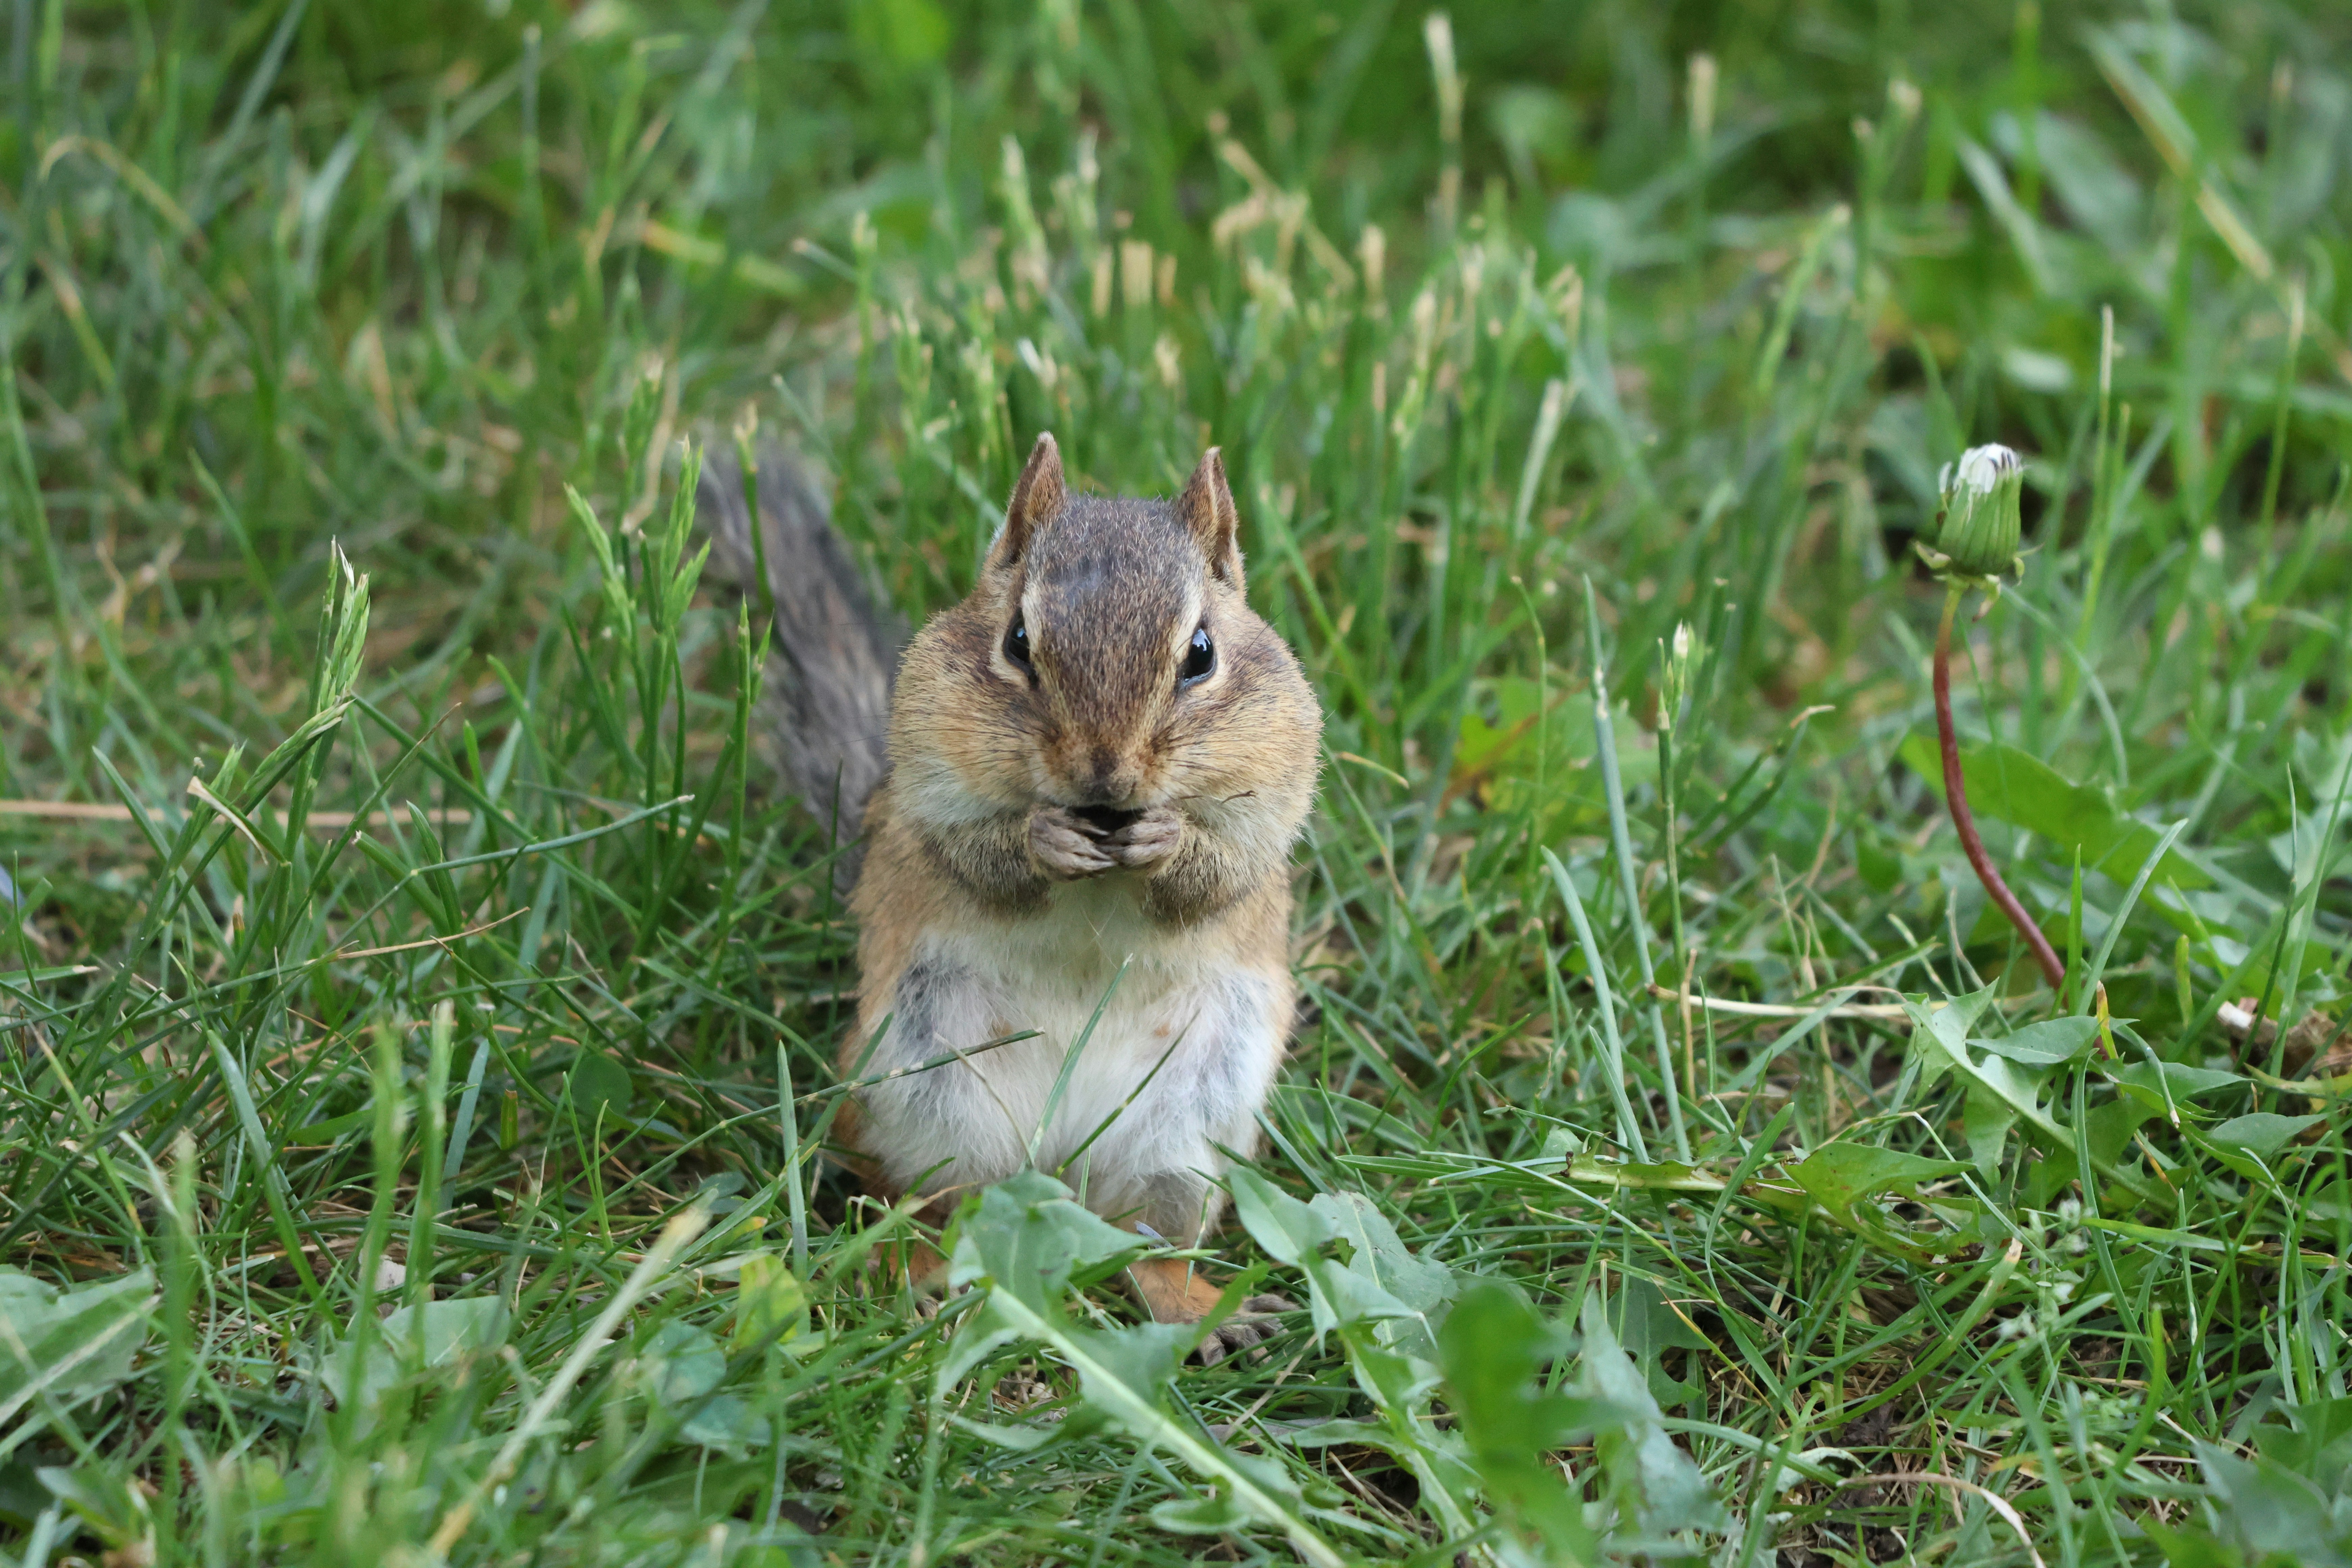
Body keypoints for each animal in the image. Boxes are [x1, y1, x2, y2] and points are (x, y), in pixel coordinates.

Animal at [699, 432, 1323, 1361]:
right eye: (1018, 641)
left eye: (1202, 654)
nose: (1105, 778)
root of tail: (1056, 1164)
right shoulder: (927, 788)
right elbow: (978, 857)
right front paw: (1043, 840)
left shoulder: (1272, 800)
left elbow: (1219, 871)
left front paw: (1165, 841)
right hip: (921, 1092)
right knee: (922, 1206)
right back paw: (924, 1277)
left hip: (1190, 1125)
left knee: (1143, 1241)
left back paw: (1199, 1307)